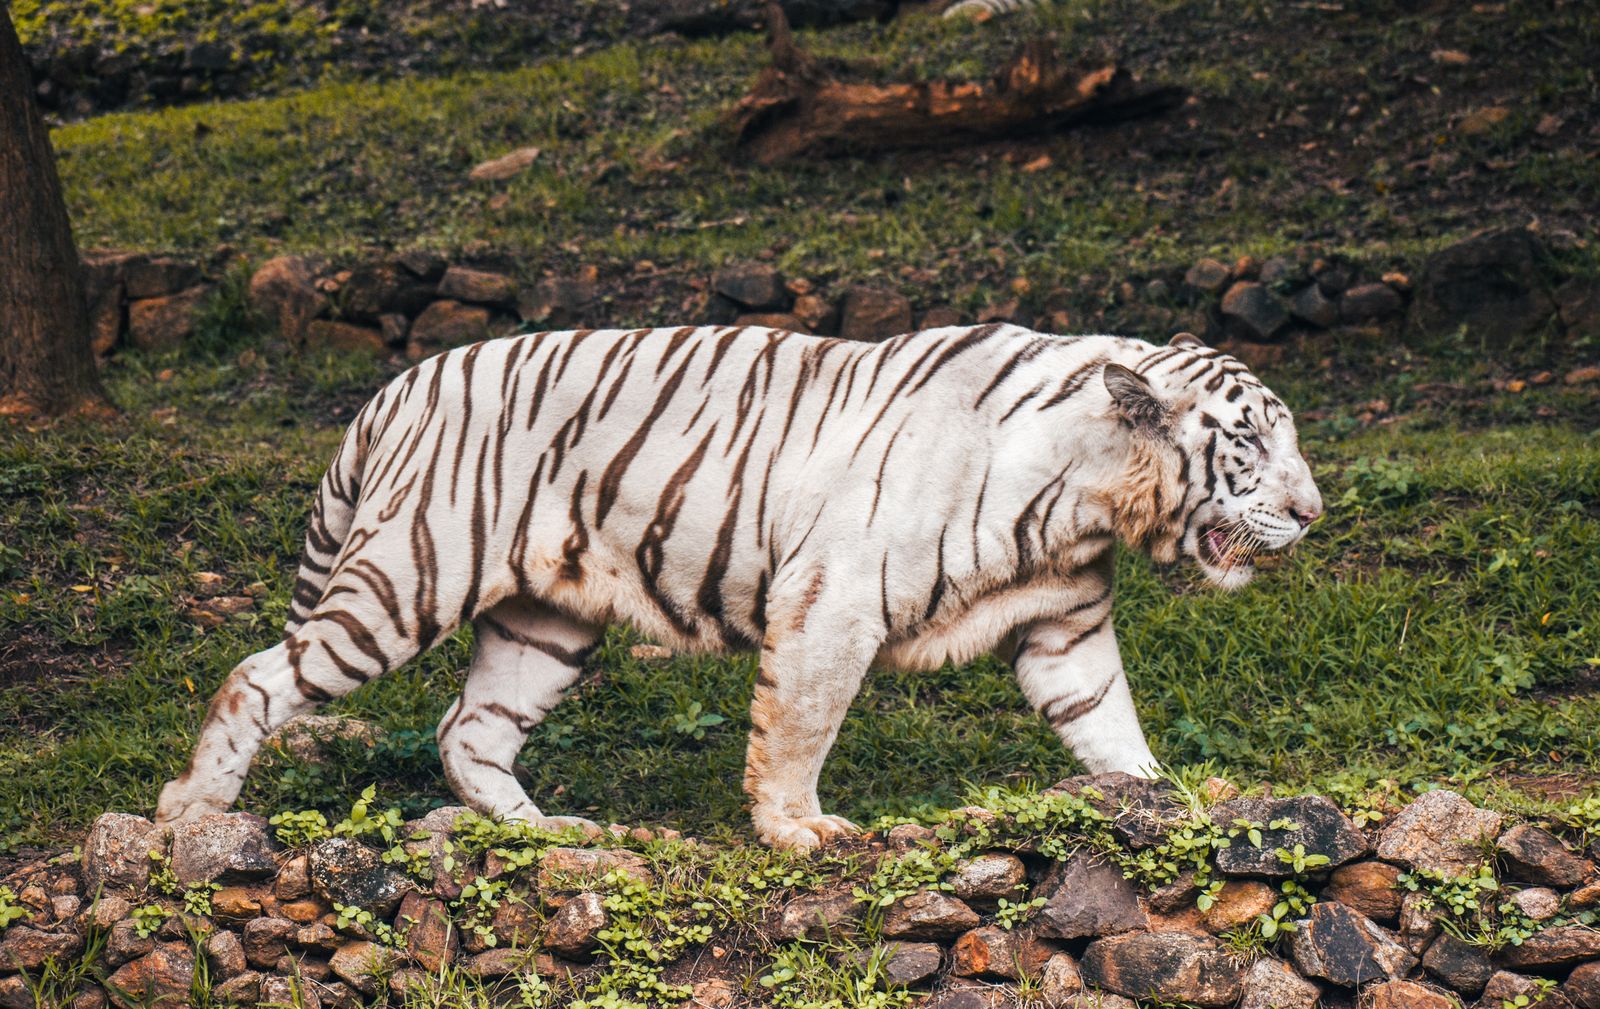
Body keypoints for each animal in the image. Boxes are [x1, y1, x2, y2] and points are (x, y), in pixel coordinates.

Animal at [155, 323, 1321, 850]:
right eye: (1251, 444)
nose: (1313, 512)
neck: (1084, 498)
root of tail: (394, 384)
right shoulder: (834, 605)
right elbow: (800, 726)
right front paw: (800, 829)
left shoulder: (1063, 622)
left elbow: (1109, 722)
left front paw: (1168, 797)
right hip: (408, 576)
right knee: (259, 673)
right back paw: (191, 809)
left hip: (544, 623)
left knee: (468, 728)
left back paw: (550, 832)